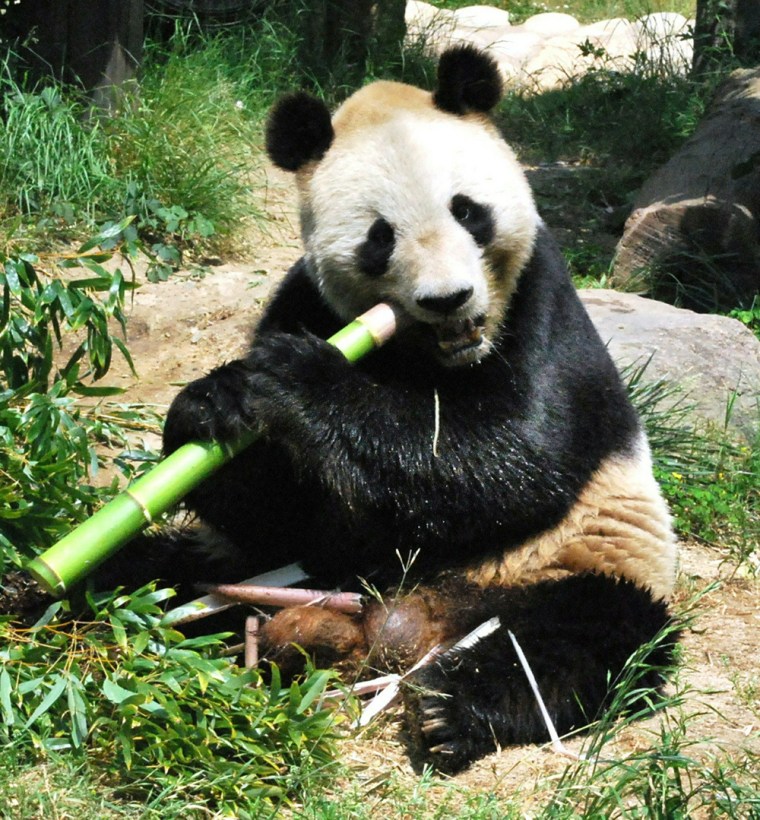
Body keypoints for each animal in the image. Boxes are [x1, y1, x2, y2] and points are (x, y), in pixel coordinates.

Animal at [157, 45, 678, 773]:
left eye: (468, 211)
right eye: (380, 237)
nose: (448, 299)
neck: (434, 357)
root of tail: (397, 621)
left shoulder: (546, 305)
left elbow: (517, 455)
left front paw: (303, 377)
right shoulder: (305, 299)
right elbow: (273, 507)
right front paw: (211, 404)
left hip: (579, 560)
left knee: (584, 635)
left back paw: (448, 713)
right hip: (282, 567)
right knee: (160, 573)